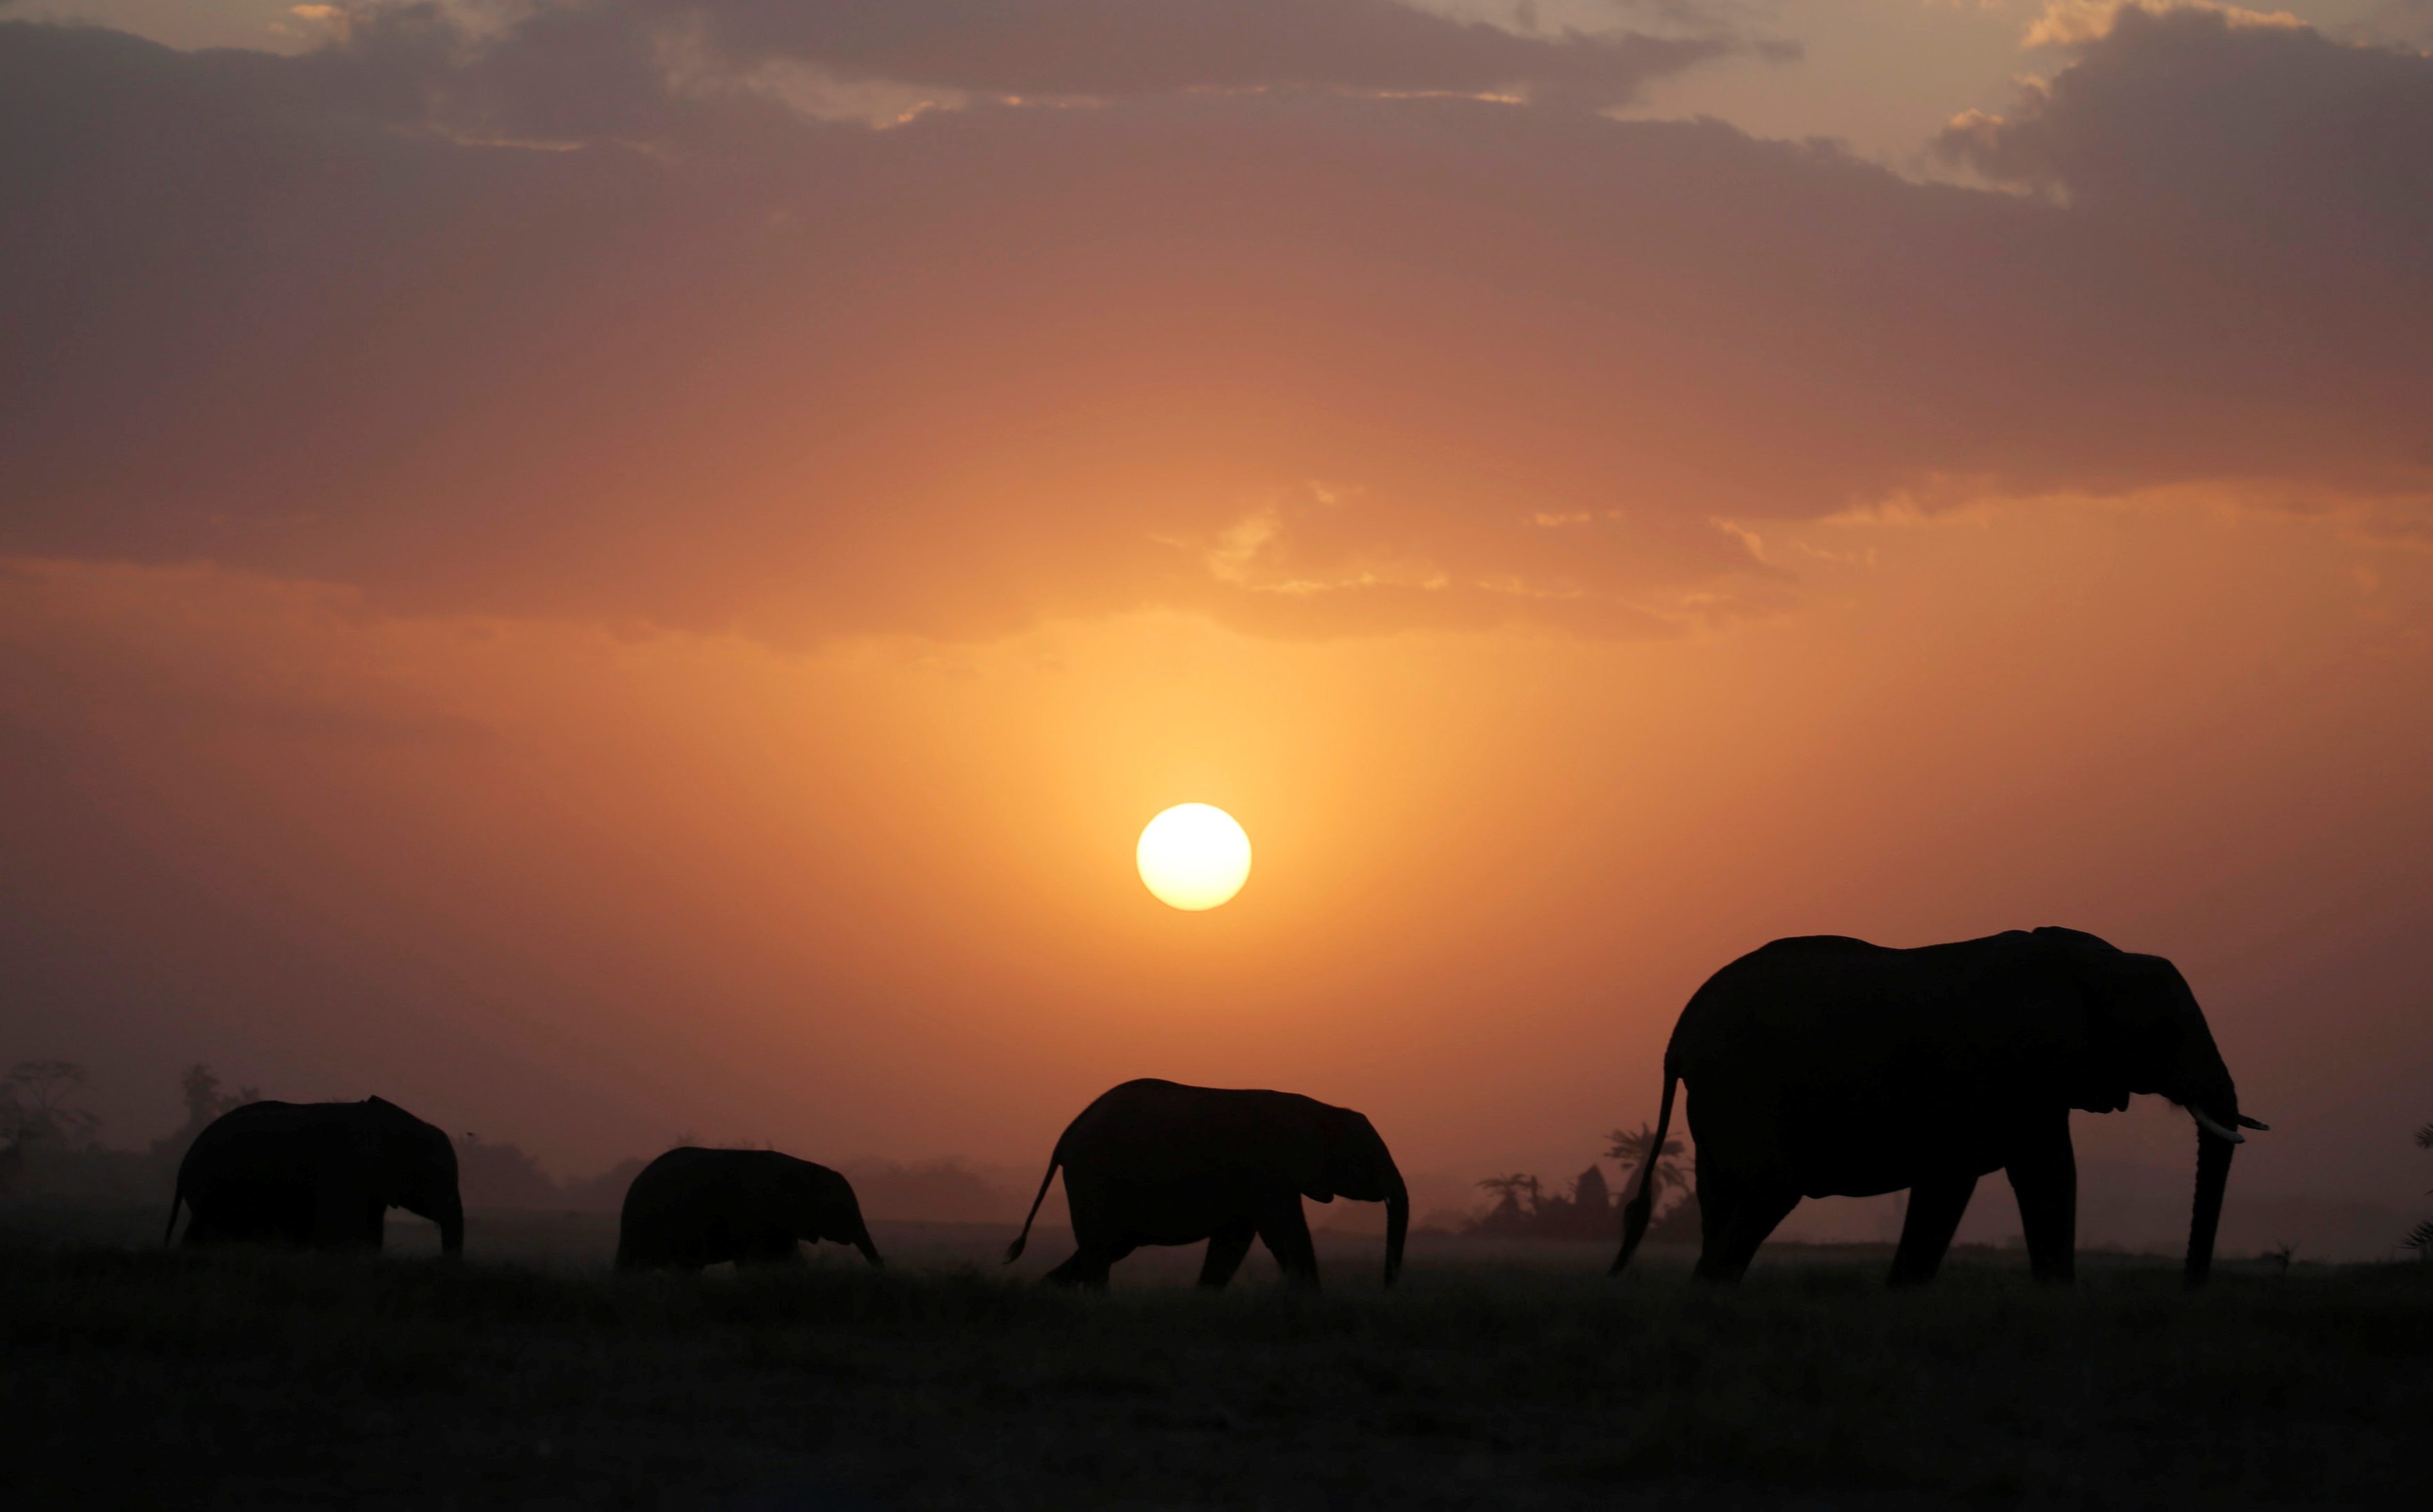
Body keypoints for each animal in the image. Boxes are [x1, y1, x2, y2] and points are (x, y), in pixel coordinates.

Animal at [1004, 1078, 1408, 1290]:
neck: (1319, 1109)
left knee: (1104, 1248)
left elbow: (1233, 1241)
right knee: (1100, 1249)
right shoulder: (1267, 1174)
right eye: (1369, 1157)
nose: (1386, 1289)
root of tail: (1067, 1134)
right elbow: (1285, 1232)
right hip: (1094, 1180)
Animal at [1608, 928, 2266, 1288]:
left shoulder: (2035, 1084)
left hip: (1718, 1106)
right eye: (2167, 1030)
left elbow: (2047, 1175)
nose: (2190, 1289)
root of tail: (1681, 1032)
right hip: (1747, 1091)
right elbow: (1967, 1177)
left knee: (1722, 1203)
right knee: (1768, 1191)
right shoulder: (2009, 1069)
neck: (2090, 957)